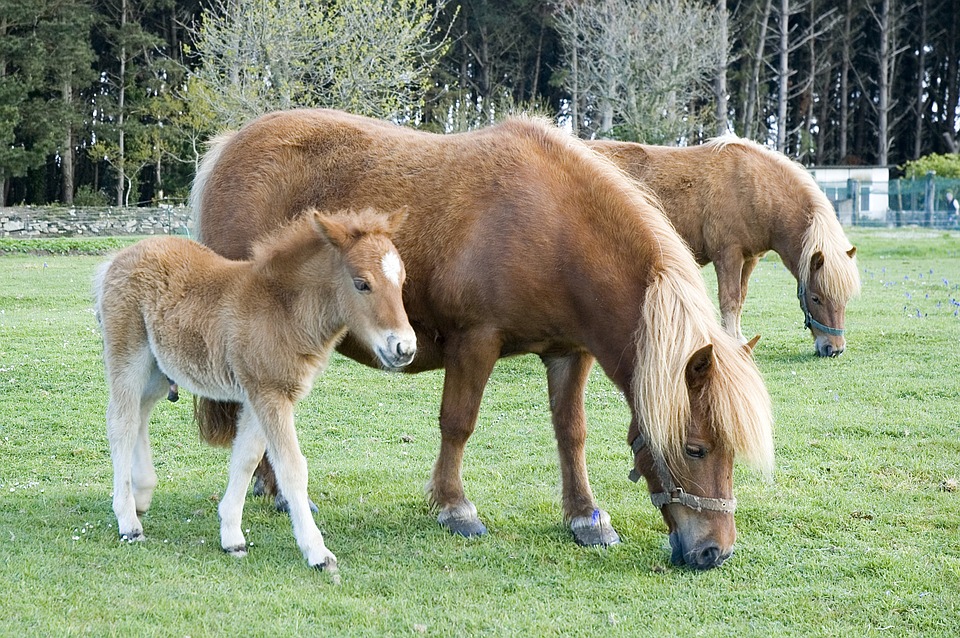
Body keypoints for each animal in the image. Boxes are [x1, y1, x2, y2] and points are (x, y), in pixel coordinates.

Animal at [93, 207, 416, 570]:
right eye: (362, 283)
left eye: (402, 281)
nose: (404, 348)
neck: (282, 309)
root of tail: (116, 258)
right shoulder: (269, 394)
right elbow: (292, 468)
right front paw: (317, 552)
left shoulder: (261, 394)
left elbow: (246, 457)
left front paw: (231, 537)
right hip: (128, 354)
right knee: (121, 422)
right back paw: (128, 521)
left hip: (159, 368)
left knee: (140, 413)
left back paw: (142, 494)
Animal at [190, 109, 775, 569]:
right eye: (696, 448)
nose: (715, 552)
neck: (554, 231)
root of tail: (228, 148)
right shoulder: (475, 341)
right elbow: (458, 424)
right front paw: (455, 507)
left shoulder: (570, 353)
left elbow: (571, 433)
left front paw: (585, 517)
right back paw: (280, 494)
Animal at [587, 136, 861, 357]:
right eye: (816, 298)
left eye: (846, 299)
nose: (834, 348)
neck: (752, 188)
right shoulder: (728, 256)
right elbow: (729, 299)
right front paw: (732, 341)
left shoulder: (750, 259)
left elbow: (740, 299)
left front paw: (739, 337)